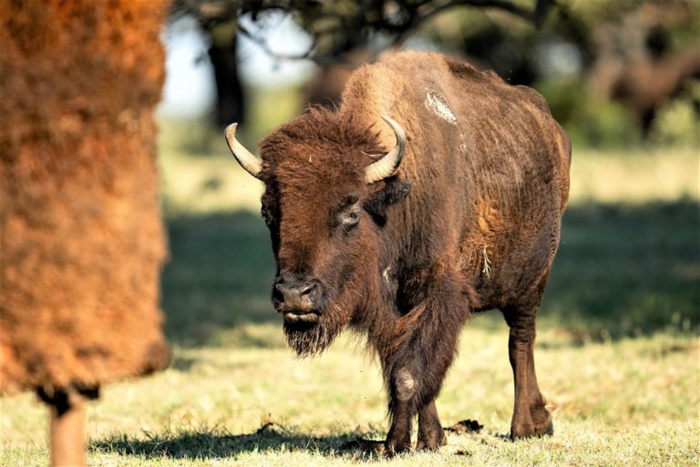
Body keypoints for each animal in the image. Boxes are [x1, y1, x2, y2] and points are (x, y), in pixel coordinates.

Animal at [225, 51, 571, 454]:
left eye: (351, 212)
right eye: (268, 213)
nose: (295, 294)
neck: (393, 202)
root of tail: (553, 131)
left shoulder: (438, 294)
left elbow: (409, 372)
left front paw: (395, 445)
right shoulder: (388, 309)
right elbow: (400, 367)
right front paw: (428, 439)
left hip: (532, 282)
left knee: (520, 343)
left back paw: (527, 426)